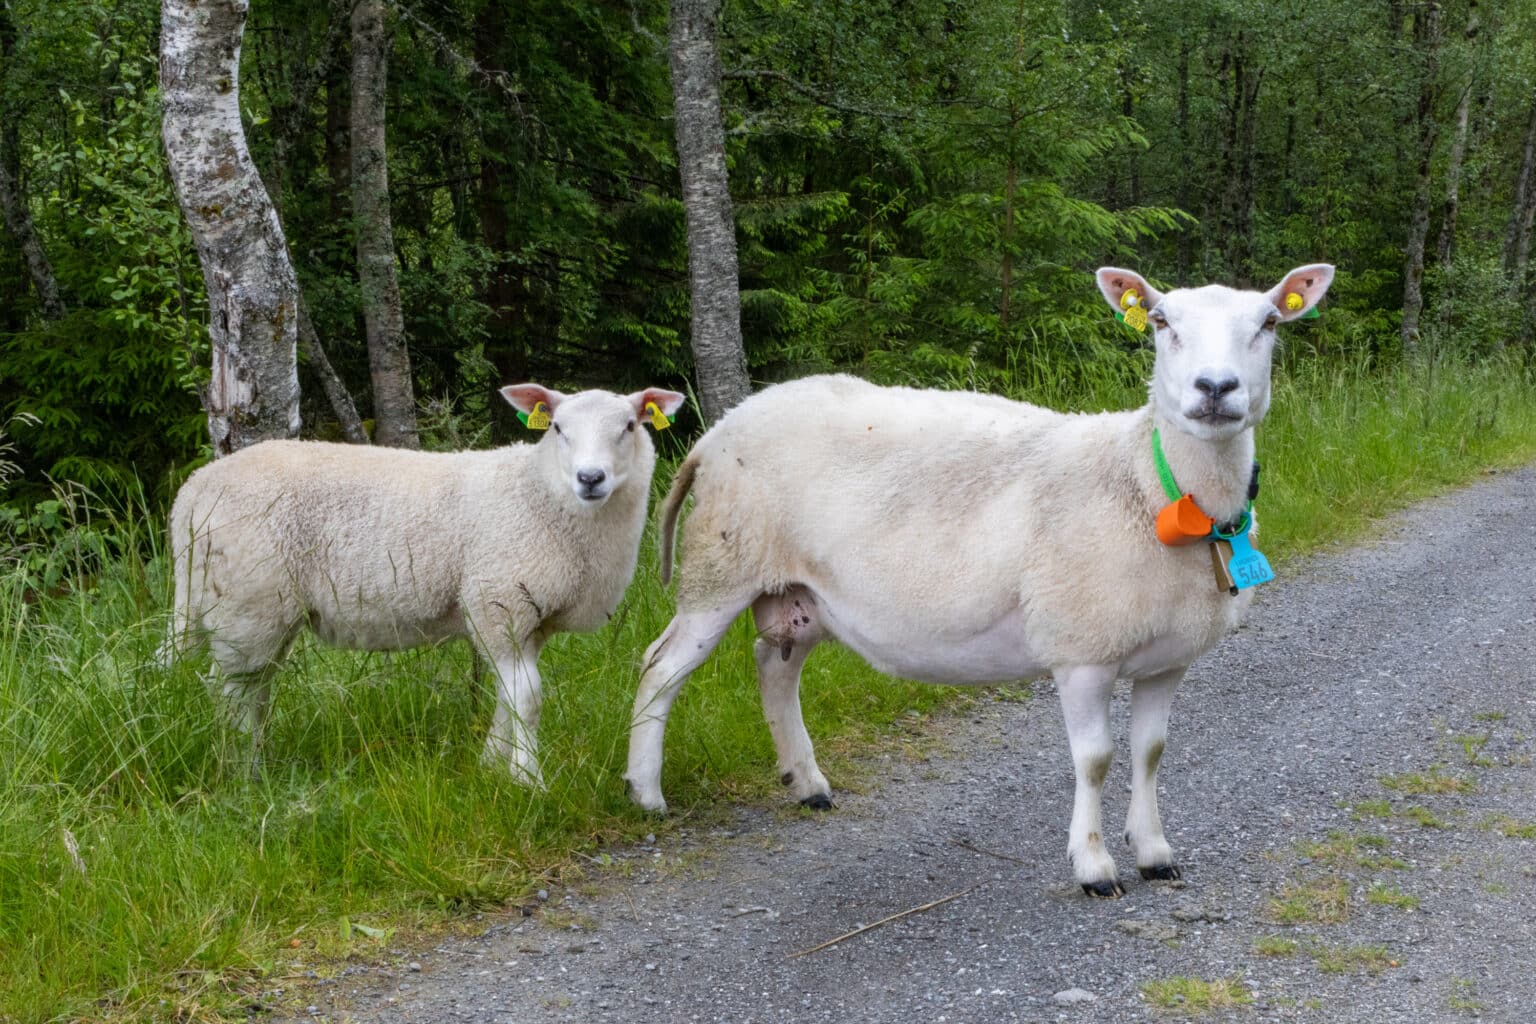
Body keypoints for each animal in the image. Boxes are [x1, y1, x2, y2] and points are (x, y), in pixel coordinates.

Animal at [162, 383, 685, 784]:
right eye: (557, 428)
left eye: (630, 426)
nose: (590, 478)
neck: (542, 494)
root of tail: (191, 493)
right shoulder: (499, 601)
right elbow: (528, 698)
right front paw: (526, 779)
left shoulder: (525, 620)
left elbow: (508, 696)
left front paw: (491, 766)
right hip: (246, 601)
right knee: (232, 689)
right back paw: (243, 771)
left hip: (260, 609)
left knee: (255, 687)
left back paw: (256, 759)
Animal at [625, 265, 1334, 897]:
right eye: (1161, 322)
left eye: (1269, 323)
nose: (1216, 388)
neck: (1149, 482)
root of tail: (719, 430)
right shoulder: (1081, 648)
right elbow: (1096, 759)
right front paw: (1094, 866)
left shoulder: (1167, 657)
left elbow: (1150, 751)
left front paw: (1156, 853)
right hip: (721, 564)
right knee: (660, 666)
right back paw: (646, 792)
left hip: (797, 590)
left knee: (774, 663)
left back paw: (807, 783)